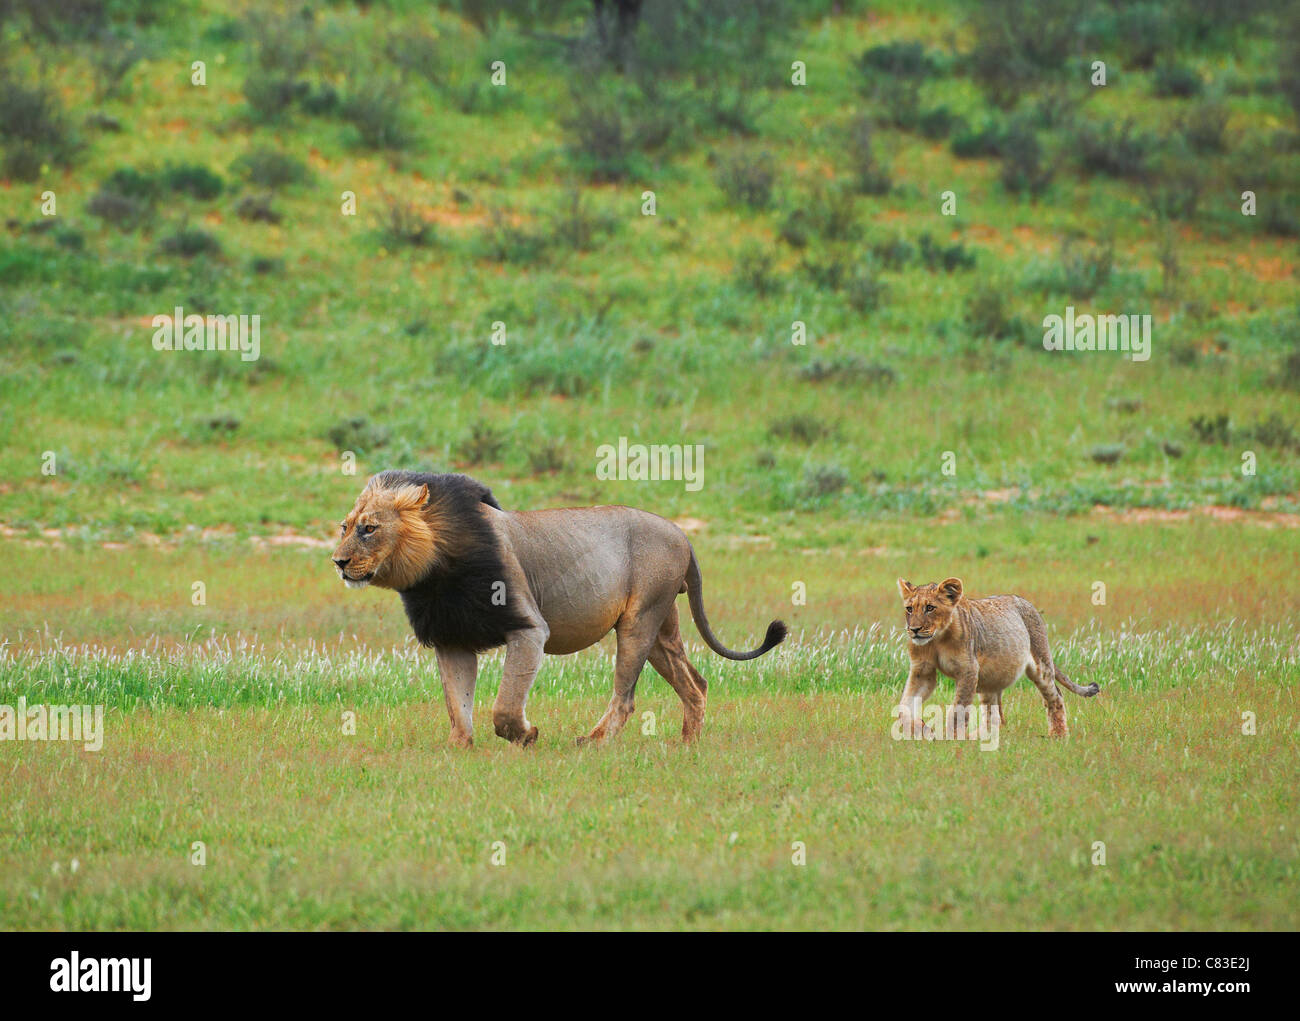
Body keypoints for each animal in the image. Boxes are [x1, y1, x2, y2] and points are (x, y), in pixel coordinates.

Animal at [331, 470, 787, 748]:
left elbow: (505, 705)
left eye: (369, 528)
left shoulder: (529, 629)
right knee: (696, 684)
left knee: (626, 696)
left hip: (640, 622)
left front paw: (527, 735)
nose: (338, 561)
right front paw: (457, 749)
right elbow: (457, 706)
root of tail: (683, 535)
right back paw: (687, 745)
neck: (435, 576)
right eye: (344, 526)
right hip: (662, 628)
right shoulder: (452, 638)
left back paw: (594, 742)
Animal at [894, 577, 1099, 739]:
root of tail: (1028, 603)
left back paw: (1058, 734)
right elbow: (903, 707)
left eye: (930, 608)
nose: (914, 630)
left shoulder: (968, 670)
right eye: (909, 609)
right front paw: (921, 729)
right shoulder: (922, 671)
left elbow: (958, 710)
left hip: (1041, 664)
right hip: (988, 682)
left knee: (1056, 696)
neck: (936, 639)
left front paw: (951, 739)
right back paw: (977, 737)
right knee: (996, 718)